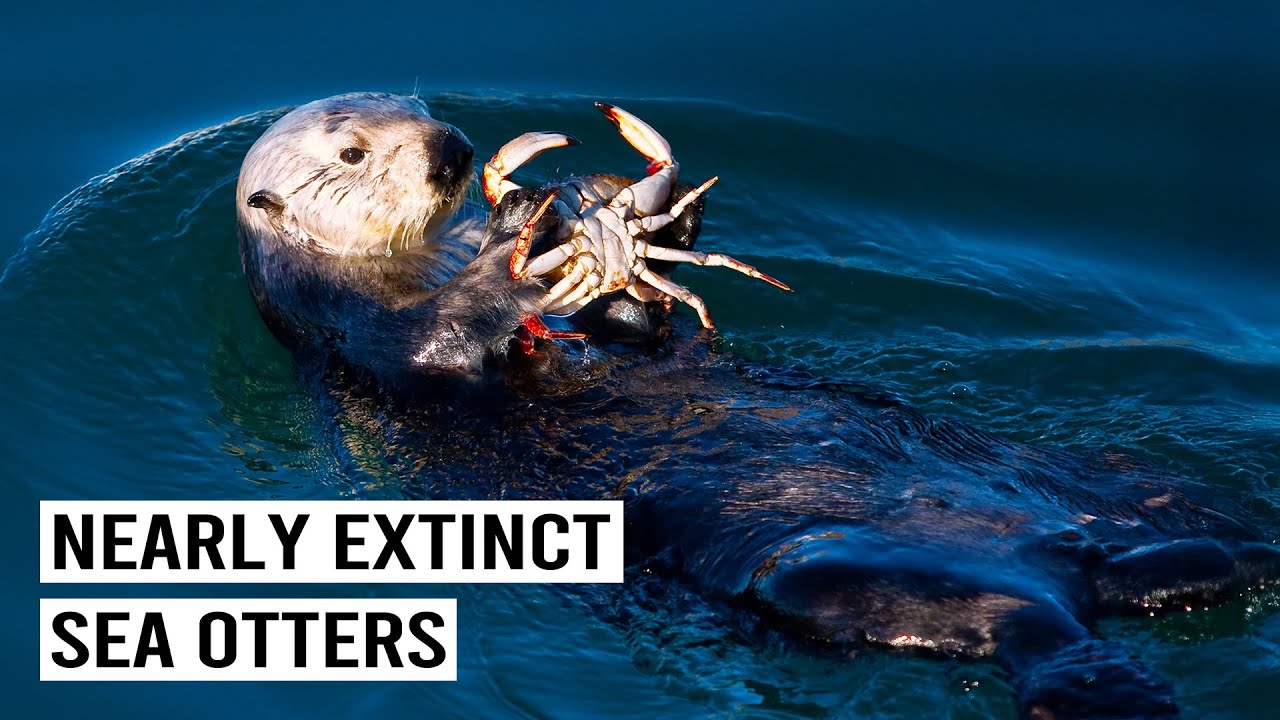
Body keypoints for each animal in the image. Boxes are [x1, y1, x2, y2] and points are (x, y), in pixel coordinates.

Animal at [238, 92, 1280, 718]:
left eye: (420, 109)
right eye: (354, 152)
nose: (456, 151)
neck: (417, 265)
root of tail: (1063, 576)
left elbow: (646, 314)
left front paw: (595, 203)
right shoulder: (350, 338)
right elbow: (435, 346)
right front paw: (520, 242)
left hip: (1108, 484)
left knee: (1152, 533)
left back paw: (1221, 551)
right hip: (819, 572)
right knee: (1008, 623)